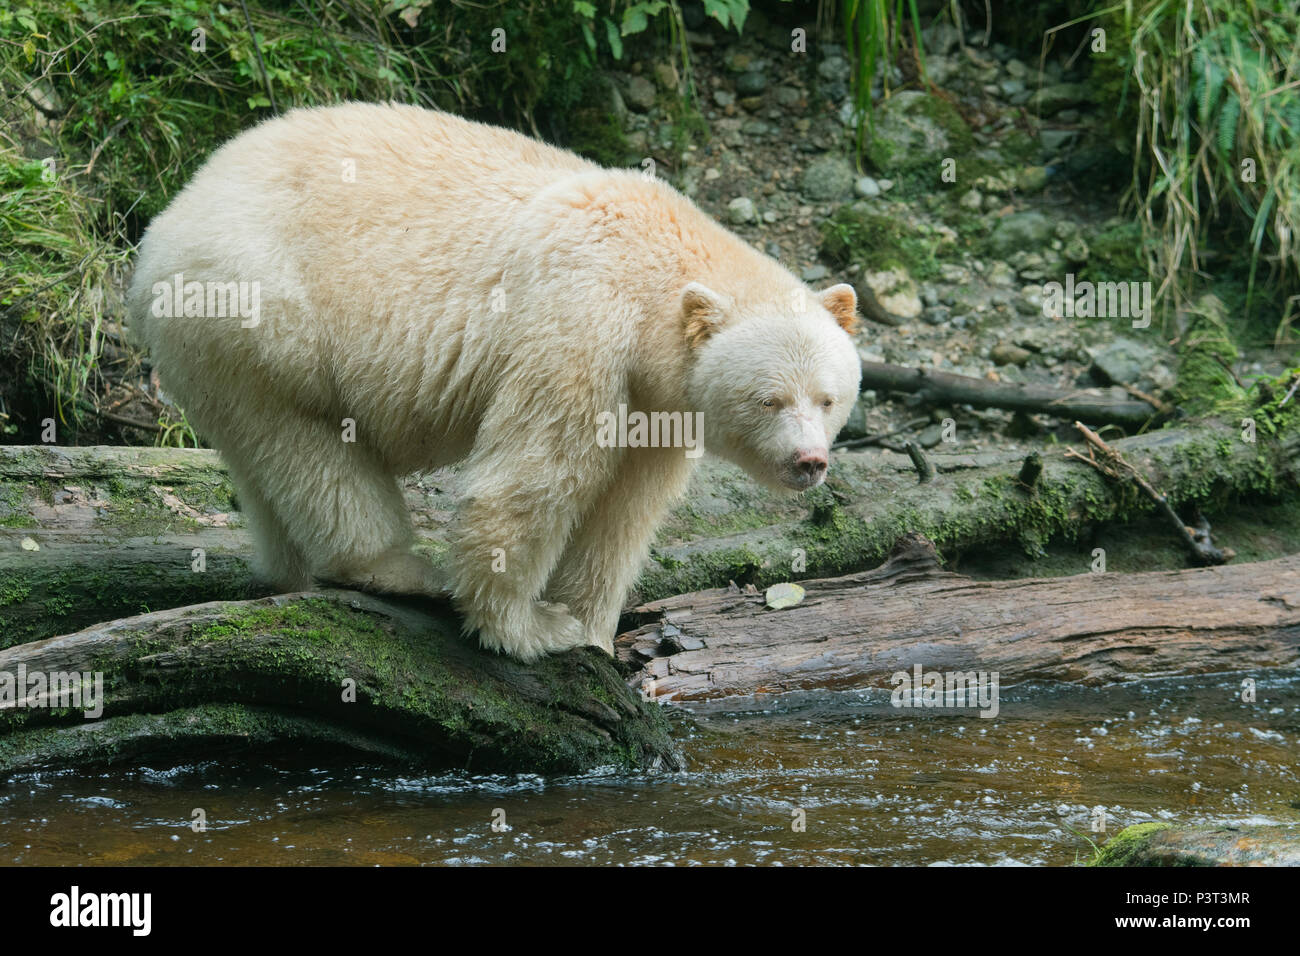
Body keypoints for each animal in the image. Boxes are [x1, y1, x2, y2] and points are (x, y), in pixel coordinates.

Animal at [127, 103, 862, 661]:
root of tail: (165, 223)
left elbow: (625, 510)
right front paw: (532, 629)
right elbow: (537, 477)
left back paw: (293, 570)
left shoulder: (658, 401)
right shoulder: (581, 321)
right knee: (313, 442)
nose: (809, 462)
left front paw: (593, 629)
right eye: (767, 399)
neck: (654, 262)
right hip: (261, 309)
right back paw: (398, 569)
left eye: (829, 399)